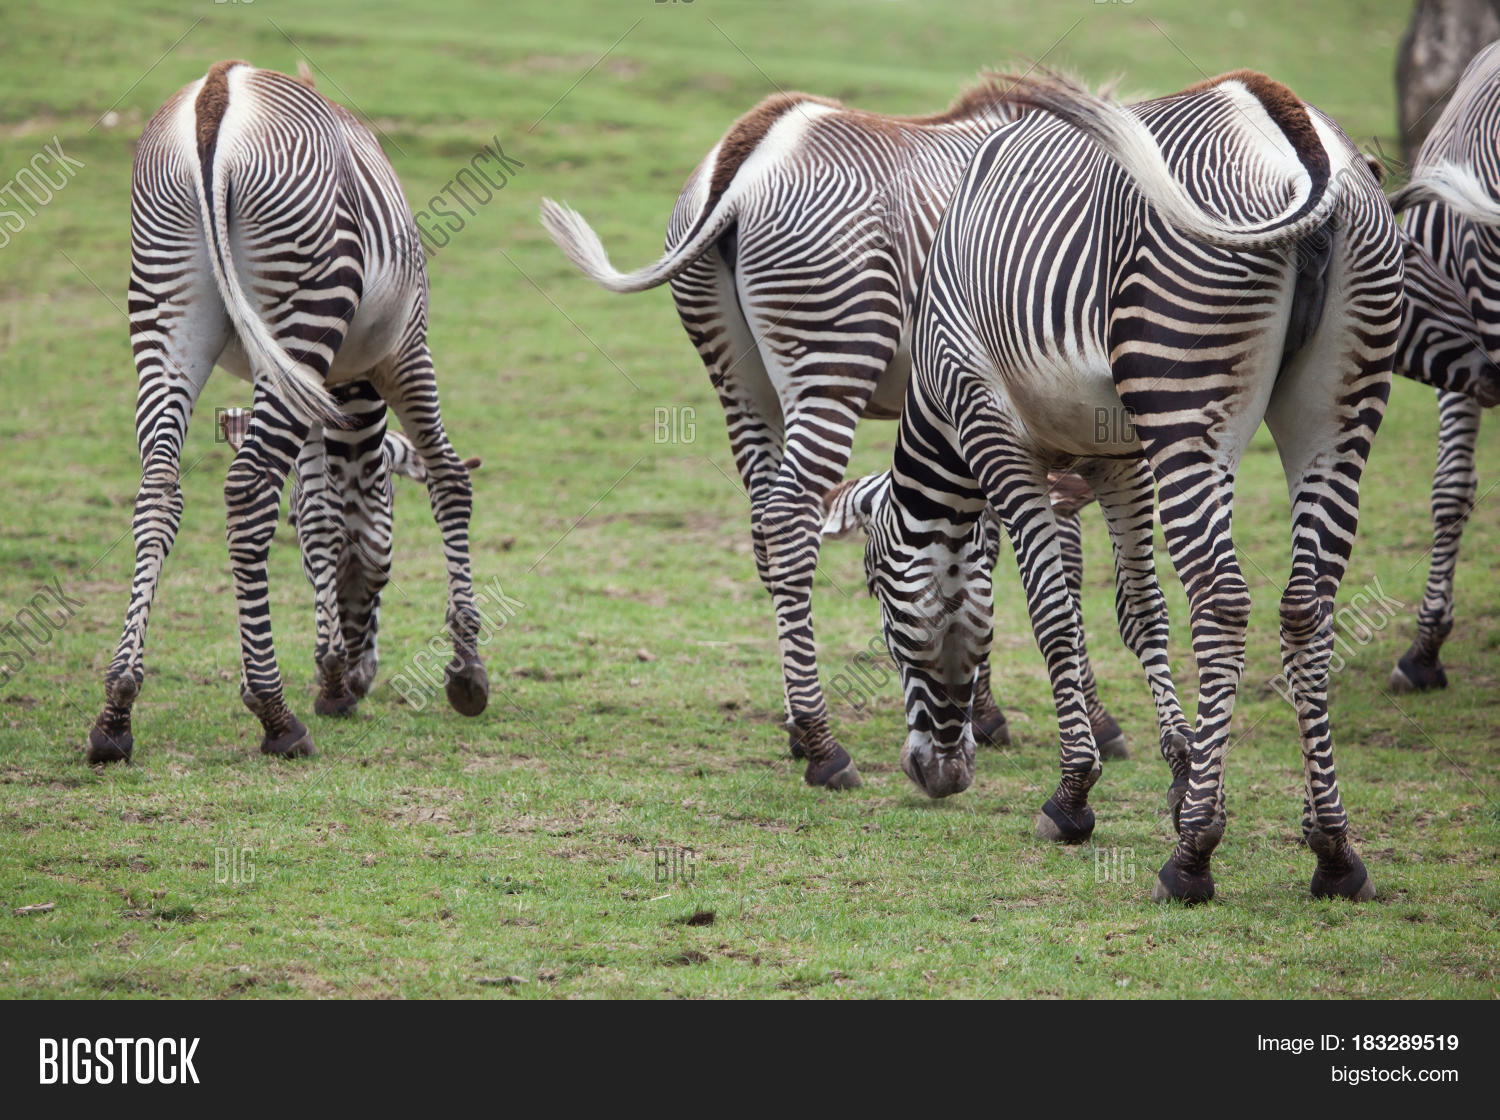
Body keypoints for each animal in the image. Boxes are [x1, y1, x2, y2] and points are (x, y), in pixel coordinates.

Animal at [539, 77, 1129, 790]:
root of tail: (751, 148)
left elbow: (979, 553)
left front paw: (985, 713)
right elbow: (1059, 562)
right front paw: (1094, 721)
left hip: (740, 381)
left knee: (764, 528)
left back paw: (798, 729)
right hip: (832, 360)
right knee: (791, 521)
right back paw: (825, 749)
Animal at [862, 68, 1407, 903]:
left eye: (883, 610)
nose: (935, 776)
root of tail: (1290, 132)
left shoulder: (999, 437)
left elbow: (1055, 617)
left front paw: (1074, 796)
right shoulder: (1113, 459)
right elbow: (1139, 613)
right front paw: (1181, 770)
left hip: (1185, 396)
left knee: (1222, 600)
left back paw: (1192, 859)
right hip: (1339, 409)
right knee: (1307, 607)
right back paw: (1334, 852)